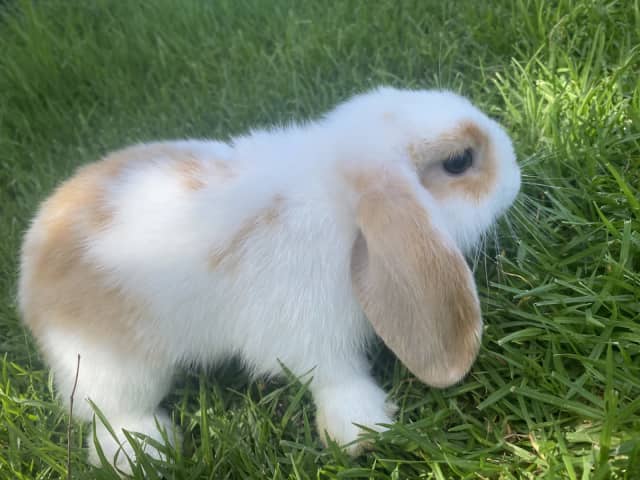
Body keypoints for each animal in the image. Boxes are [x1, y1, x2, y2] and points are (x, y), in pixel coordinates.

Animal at [18, 86, 520, 473]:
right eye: (459, 161)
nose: (515, 174)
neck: (341, 202)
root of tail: (32, 261)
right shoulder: (311, 334)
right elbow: (338, 377)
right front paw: (366, 432)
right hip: (112, 365)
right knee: (108, 415)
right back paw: (147, 451)